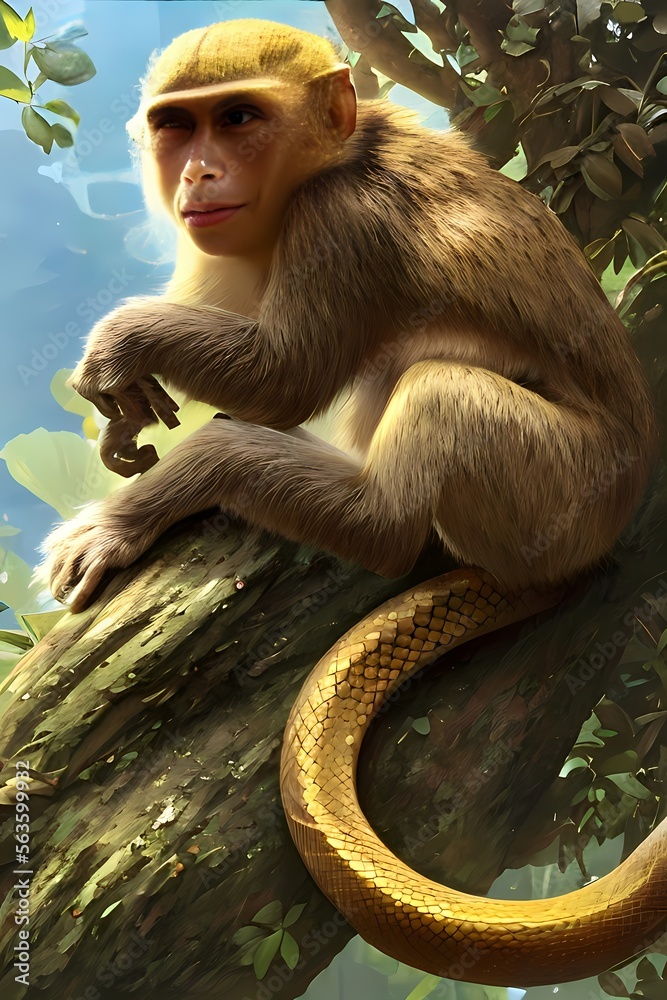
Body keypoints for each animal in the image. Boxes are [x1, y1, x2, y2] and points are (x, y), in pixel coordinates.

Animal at [38, 18, 662, 983]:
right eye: (179, 125)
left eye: (239, 117)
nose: (198, 175)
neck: (345, 153)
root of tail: (605, 530)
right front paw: (124, 415)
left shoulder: (340, 223)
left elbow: (282, 380)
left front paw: (123, 364)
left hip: (562, 485)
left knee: (430, 408)